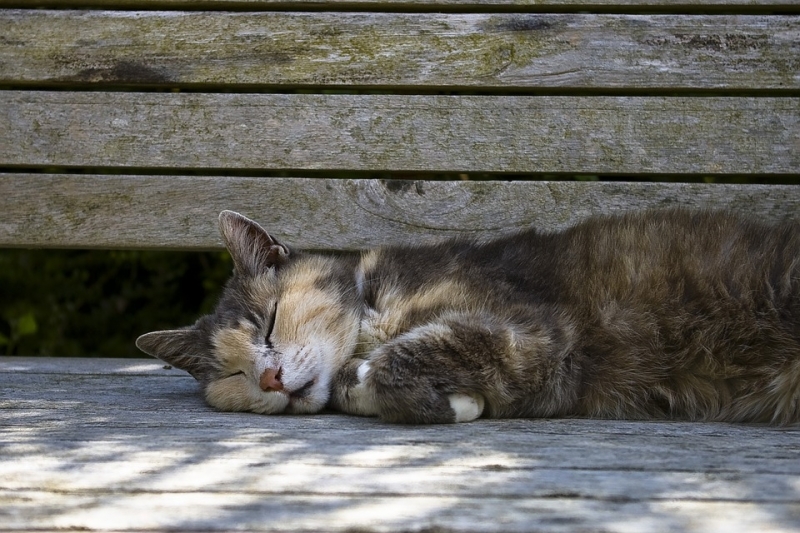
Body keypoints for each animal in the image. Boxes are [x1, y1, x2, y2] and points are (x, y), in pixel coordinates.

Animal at [136, 208, 800, 424]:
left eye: (271, 320)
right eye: (233, 376)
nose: (270, 378)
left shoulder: (541, 337)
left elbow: (398, 363)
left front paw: (445, 403)